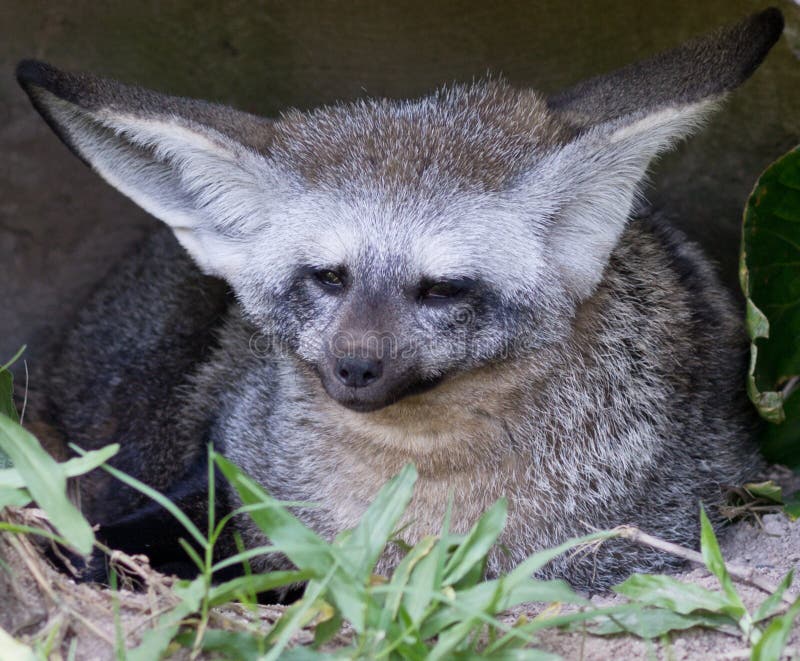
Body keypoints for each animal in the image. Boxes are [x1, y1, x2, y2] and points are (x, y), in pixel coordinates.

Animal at [16, 8, 784, 591]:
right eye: (329, 277)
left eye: (441, 288)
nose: (355, 366)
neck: (408, 492)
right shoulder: (221, 468)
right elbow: (140, 541)